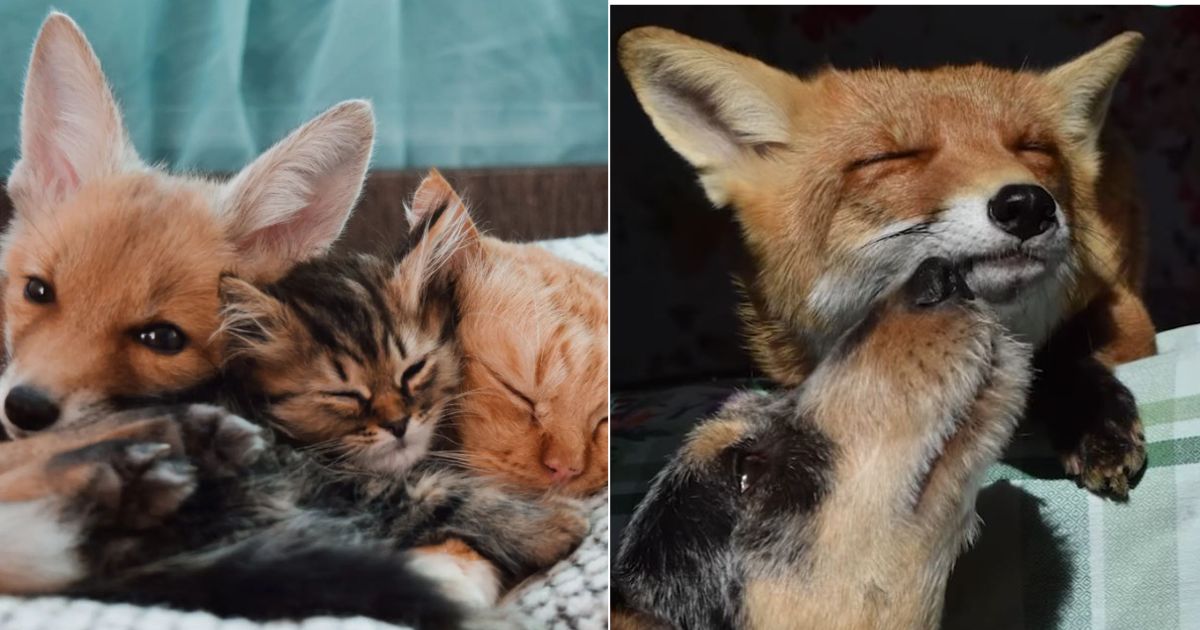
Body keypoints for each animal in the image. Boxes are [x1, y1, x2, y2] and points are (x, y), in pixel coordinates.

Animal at [619, 27, 1155, 498]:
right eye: (892, 157)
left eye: (1034, 148)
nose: (1028, 205)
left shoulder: (1123, 311)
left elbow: (1063, 354)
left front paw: (1095, 420)